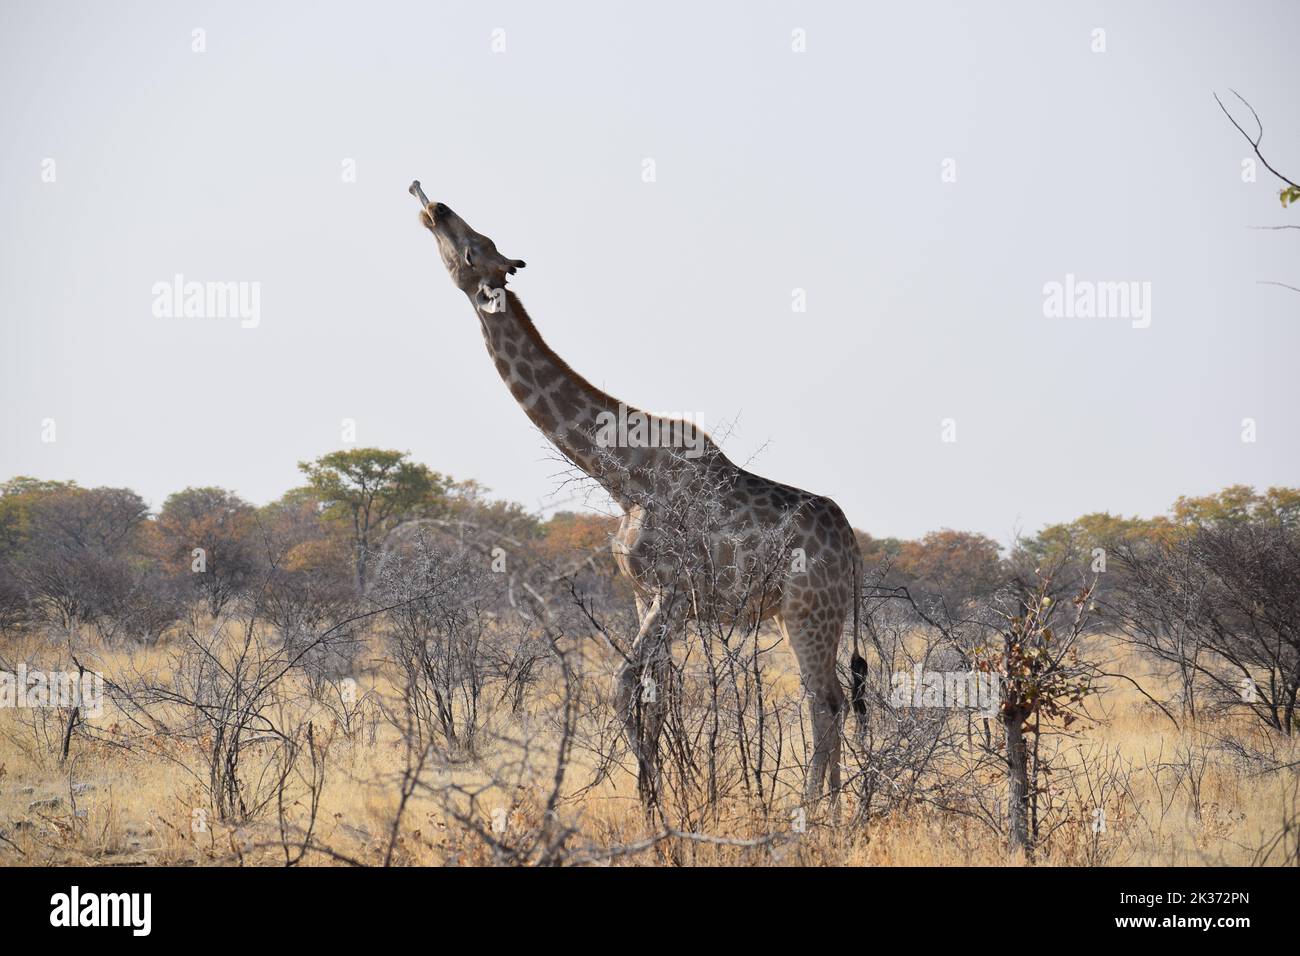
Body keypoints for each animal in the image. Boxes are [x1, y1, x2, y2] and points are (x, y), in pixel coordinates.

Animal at [409, 183, 866, 805]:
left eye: (476, 245)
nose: (431, 203)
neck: (623, 477)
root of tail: (854, 548)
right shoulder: (643, 593)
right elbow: (657, 694)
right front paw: (668, 797)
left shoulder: (672, 589)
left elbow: (624, 684)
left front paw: (654, 802)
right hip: (813, 612)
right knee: (838, 699)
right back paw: (841, 810)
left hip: (808, 610)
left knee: (823, 701)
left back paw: (811, 812)